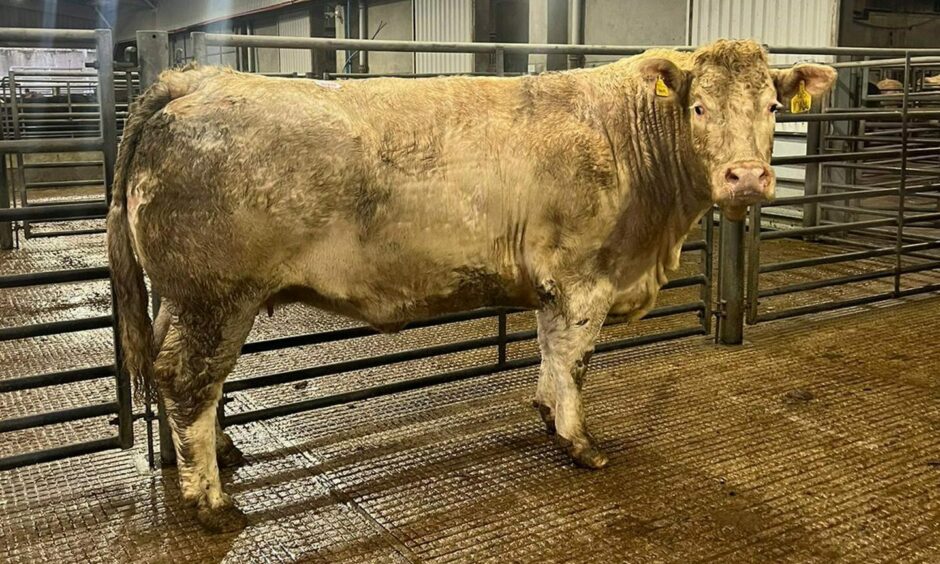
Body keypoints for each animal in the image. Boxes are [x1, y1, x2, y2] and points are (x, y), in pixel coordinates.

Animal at [107, 39, 836, 532]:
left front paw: (546, 414)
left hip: (185, 298)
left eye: (774, 106)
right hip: (216, 297)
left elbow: (549, 354)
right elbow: (575, 362)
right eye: (700, 106)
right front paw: (580, 444)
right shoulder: (583, 277)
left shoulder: (555, 285)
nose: (748, 176)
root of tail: (192, 80)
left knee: (182, 377)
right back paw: (211, 503)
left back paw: (219, 456)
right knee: (189, 381)